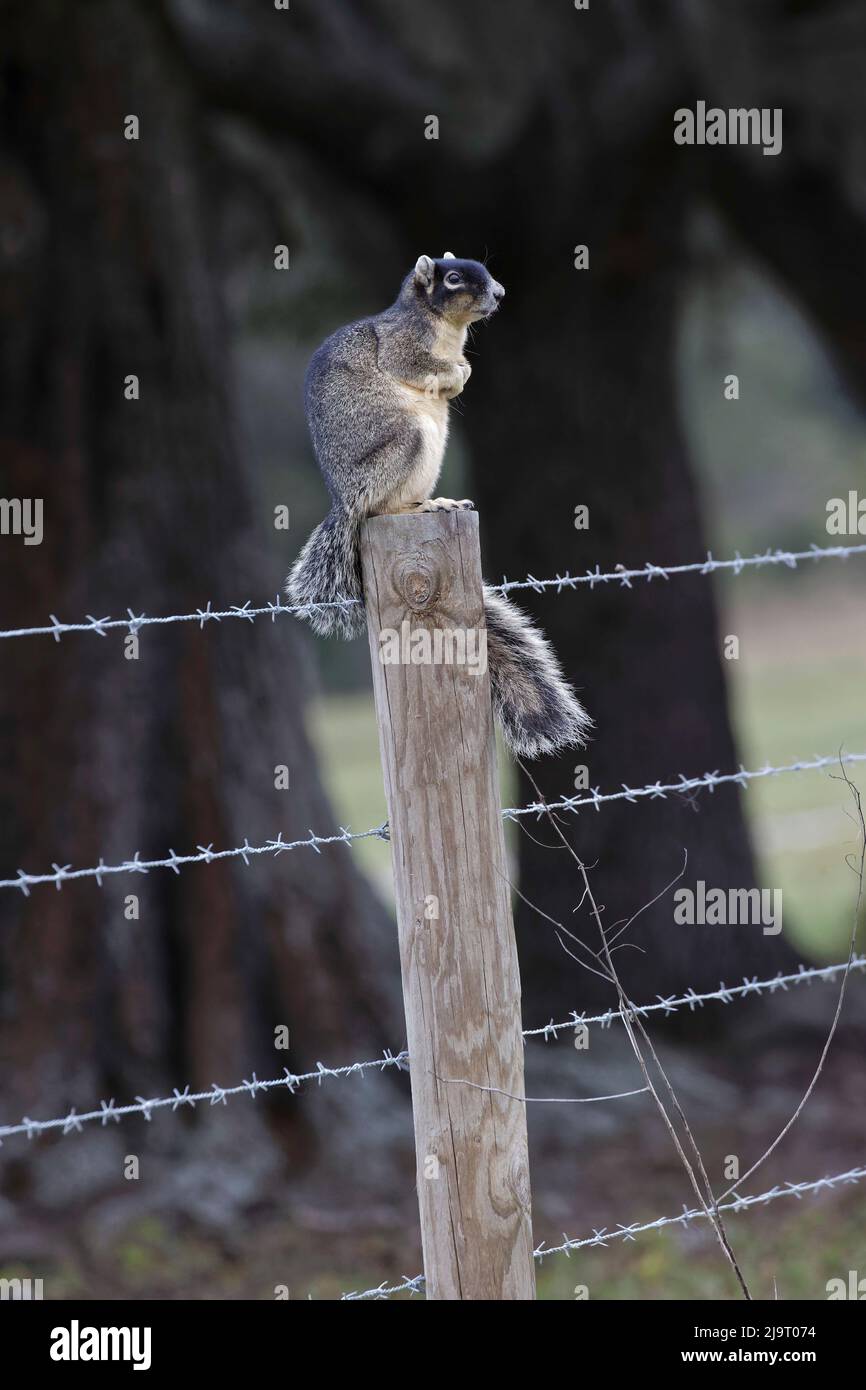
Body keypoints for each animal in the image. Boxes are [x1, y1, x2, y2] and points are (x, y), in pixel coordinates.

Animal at [287, 253, 592, 758]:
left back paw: (439, 500)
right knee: (381, 508)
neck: (448, 329)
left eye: (485, 272)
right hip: (402, 449)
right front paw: (458, 372)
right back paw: (415, 509)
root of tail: (344, 502)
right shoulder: (402, 344)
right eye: (452, 279)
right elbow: (414, 363)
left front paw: (462, 372)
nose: (500, 294)